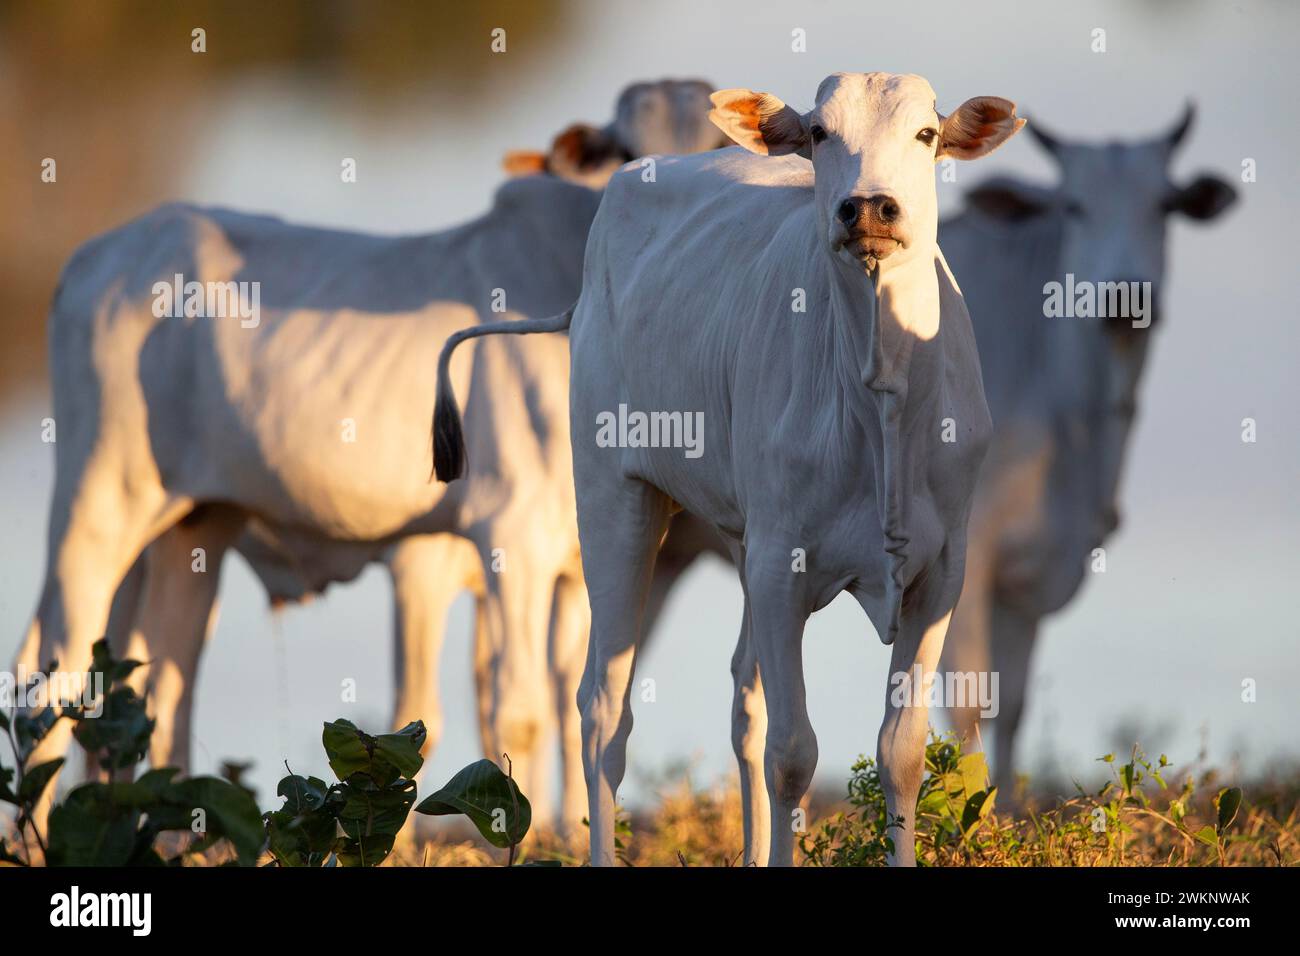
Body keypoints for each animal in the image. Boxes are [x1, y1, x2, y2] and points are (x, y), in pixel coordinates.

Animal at [16, 78, 728, 836]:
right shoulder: (510, 538)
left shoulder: (575, 552)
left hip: (194, 523)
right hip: (99, 504)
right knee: (50, 679)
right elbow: (519, 711)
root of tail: (92, 258)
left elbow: (573, 700)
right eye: (625, 155)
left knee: (161, 686)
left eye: (717, 150)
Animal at [433, 72, 1024, 865]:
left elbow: (899, 752)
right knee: (602, 710)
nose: (868, 206)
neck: (880, 395)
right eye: (819, 133)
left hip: (741, 540)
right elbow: (793, 754)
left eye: (926, 134)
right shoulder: (781, 566)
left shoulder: (940, 575)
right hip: (615, 501)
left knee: (743, 700)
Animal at [936, 106, 1238, 796]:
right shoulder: (968, 554)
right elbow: (965, 698)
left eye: (1166, 204)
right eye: (1073, 206)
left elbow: (1012, 705)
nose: (1126, 295)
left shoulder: (1025, 580)